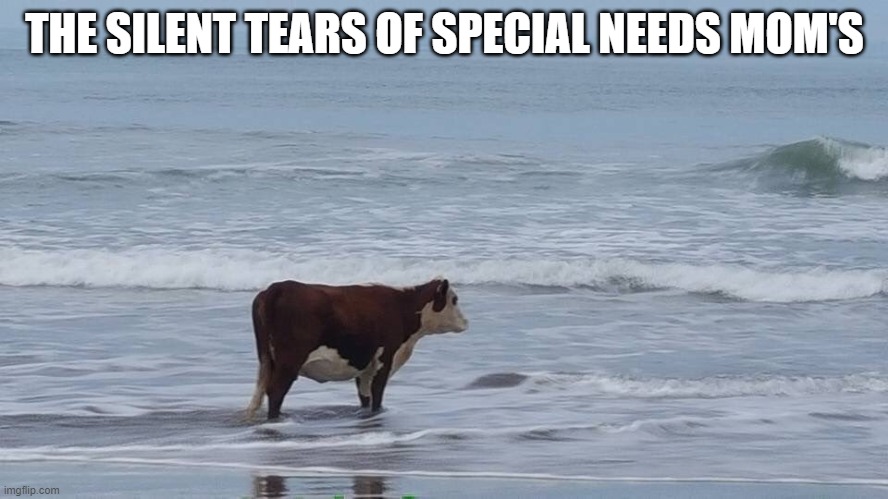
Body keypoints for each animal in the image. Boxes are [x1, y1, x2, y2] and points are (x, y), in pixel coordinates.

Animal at [245, 277, 468, 420]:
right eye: (454, 299)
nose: (466, 322)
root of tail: (275, 288)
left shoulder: (365, 367)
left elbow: (365, 395)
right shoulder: (384, 359)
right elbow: (377, 394)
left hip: (267, 360)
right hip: (289, 361)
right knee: (276, 392)